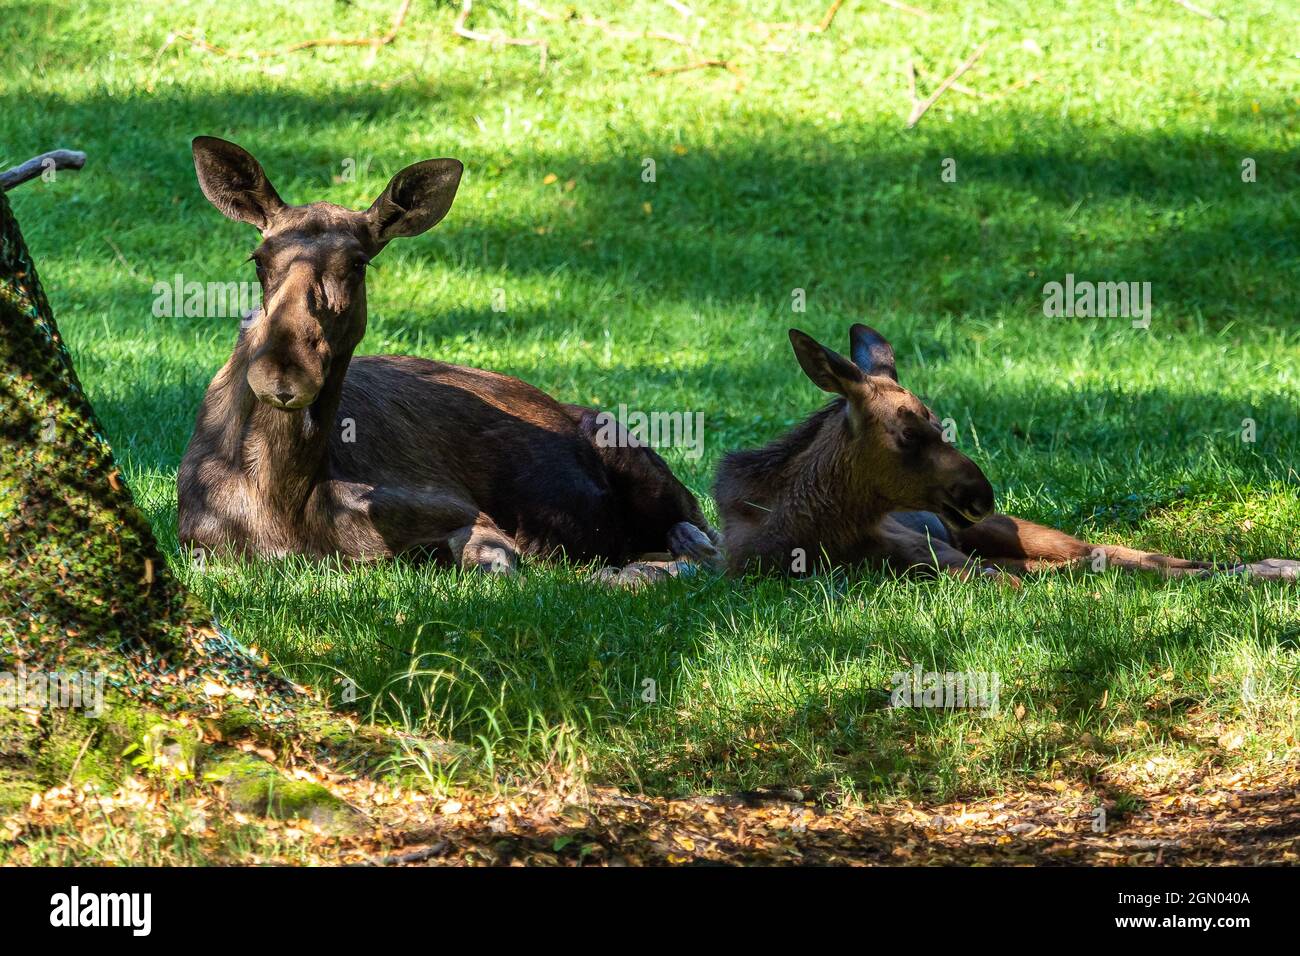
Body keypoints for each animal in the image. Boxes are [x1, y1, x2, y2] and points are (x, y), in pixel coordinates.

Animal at [178, 137, 720, 586]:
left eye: (358, 262)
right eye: (259, 258)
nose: (283, 373)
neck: (283, 497)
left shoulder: (456, 506)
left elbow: (500, 567)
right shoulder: (196, 541)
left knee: (708, 540)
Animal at [714, 324, 1300, 584]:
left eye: (938, 424)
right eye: (908, 435)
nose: (980, 492)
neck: (814, 529)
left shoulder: (934, 550)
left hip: (998, 530)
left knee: (1117, 552)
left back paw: (1270, 566)